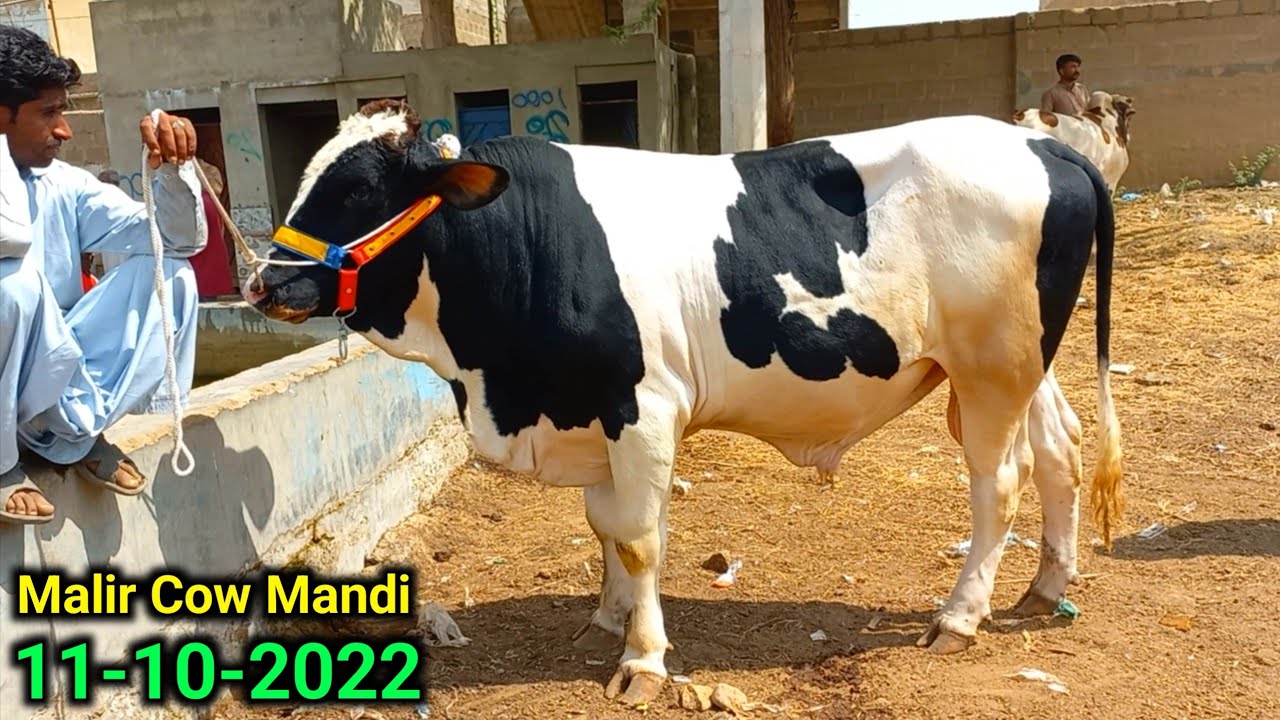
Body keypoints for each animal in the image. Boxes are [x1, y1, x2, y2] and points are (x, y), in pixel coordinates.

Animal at [242, 99, 1123, 706]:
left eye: (359, 189)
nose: (261, 283)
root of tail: (1039, 142)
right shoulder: (591, 414)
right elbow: (603, 524)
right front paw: (608, 617)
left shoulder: (643, 406)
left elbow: (638, 537)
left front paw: (642, 658)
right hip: (1024, 365)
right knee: (1061, 450)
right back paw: (1047, 586)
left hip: (992, 369)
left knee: (998, 484)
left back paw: (959, 617)